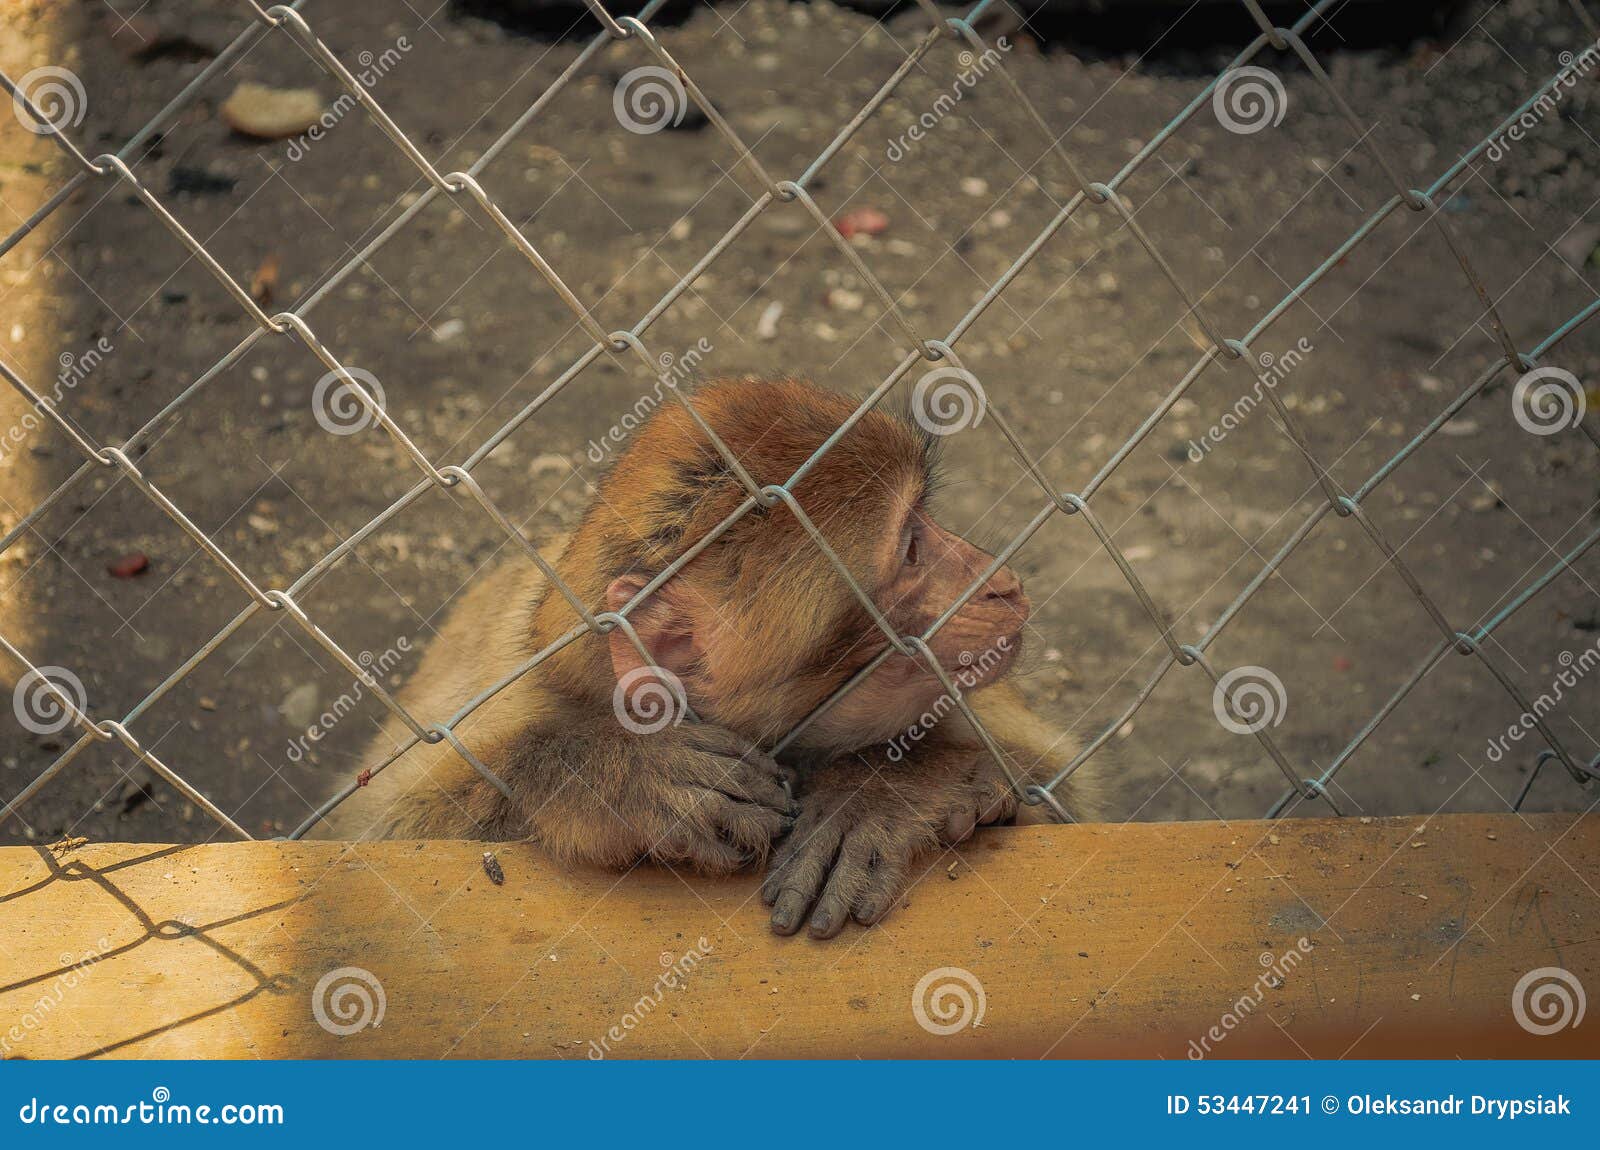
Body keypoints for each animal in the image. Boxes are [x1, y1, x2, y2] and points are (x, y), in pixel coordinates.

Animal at [322, 376, 1096, 938]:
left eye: (925, 522)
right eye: (910, 549)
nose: (1002, 583)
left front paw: (889, 791)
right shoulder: (520, 692)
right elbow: (376, 839)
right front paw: (614, 774)